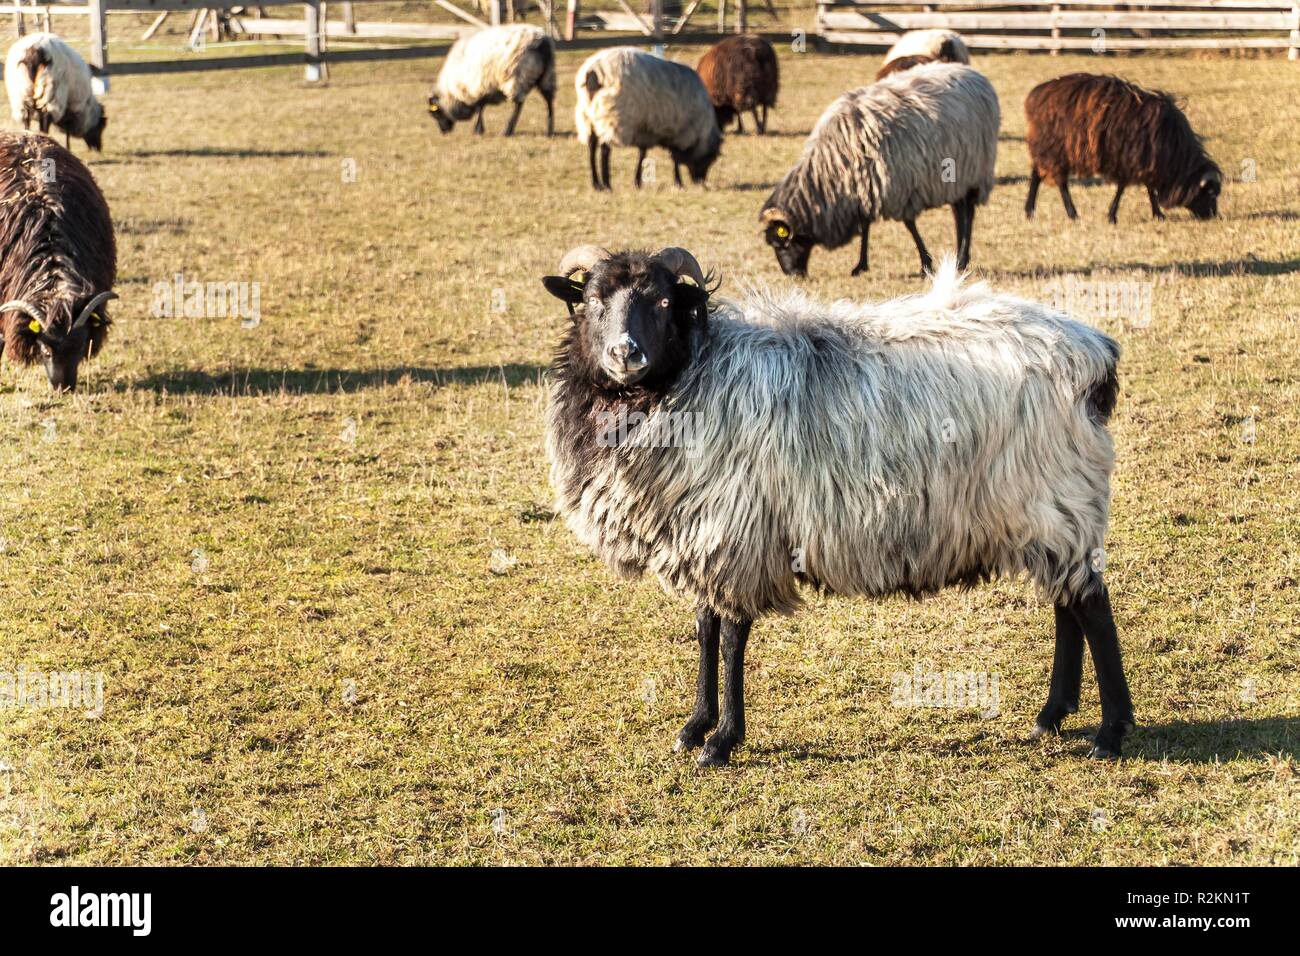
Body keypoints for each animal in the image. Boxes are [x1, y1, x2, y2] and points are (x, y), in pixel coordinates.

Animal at [427, 24, 556, 137]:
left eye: (435, 114)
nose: (444, 132)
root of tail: (541, 41)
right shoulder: (486, 87)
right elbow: (482, 105)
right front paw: (479, 129)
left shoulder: (478, 86)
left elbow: (480, 106)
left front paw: (478, 129)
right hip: (547, 76)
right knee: (549, 101)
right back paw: (549, 130)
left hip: (518, 77)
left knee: (518, 104)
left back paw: (508, 131)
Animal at [541, 244, 1135, 767]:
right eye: (593, 299)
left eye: (665, 302)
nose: (625, 353)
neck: (690, 375)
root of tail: (1094, 353)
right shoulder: (702, 532)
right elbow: (706, 629)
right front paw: (695, 727)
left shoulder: (736, 532)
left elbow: (730, 637)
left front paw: (722, 741)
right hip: (1046, 511)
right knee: (1066, 604)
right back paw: (1052, 715)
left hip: (1057, 495)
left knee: (1092, 607)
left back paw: (1110, 733)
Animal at [575, 47, 721, 191]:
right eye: (710, 159)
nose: (700, 181)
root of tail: (594, 70)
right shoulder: (678, 132)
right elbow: (675, 158)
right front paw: (678, 183)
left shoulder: (646, 129)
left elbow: (643, 154)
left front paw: (638, 182)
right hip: (611, 116)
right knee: (605, 149)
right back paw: (607, 184)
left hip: (588, 116)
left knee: (592, 147)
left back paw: (596, 184)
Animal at [761, 62, 999, 277]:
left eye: (781, 241)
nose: (792, 274)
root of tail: (974, 73)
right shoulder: (866, 187)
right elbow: (866, 225)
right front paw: (861, 265)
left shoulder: (899, 187)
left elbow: (909, 225)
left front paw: (925, 263)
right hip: (958, 177)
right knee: (959, 212)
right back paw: (959, 259)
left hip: (975, 169)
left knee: (969, 212)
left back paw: (962, 258)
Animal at [1024, 73, 1221, 223]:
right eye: (1211, 193)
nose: (1213, 216)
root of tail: (1036, 95)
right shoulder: (1131, 159)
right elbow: (1123, 187)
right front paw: (1112, 216)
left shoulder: (1146, 160)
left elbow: (1149, 187)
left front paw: (1158, 214)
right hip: (1056, 148)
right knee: (1061, 182)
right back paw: (1072, 214)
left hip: (1047, 147)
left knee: (1036, 174)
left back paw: (1030, 211)